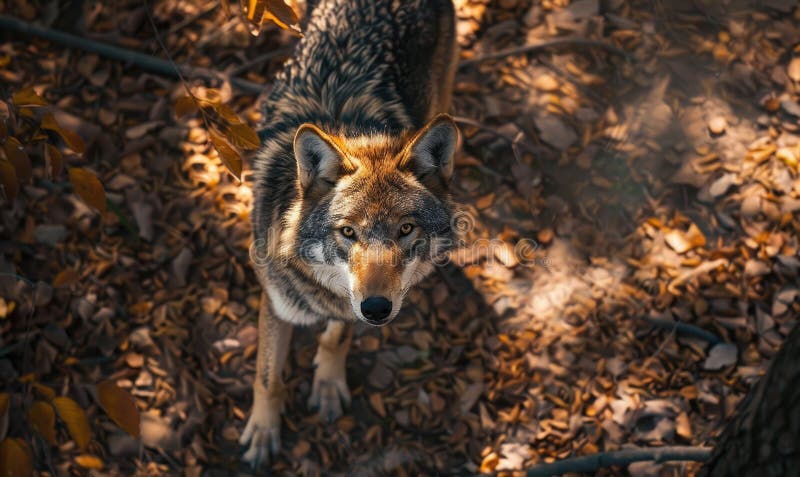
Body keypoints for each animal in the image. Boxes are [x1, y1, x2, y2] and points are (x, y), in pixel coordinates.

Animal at [240, 0, 459, 466]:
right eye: (347, 232)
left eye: (406, 229)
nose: (377, 309)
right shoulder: (275, 303)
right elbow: (268, 377)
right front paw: (264, 432)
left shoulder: (350, 308)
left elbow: (338, 336)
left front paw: (326, 384)